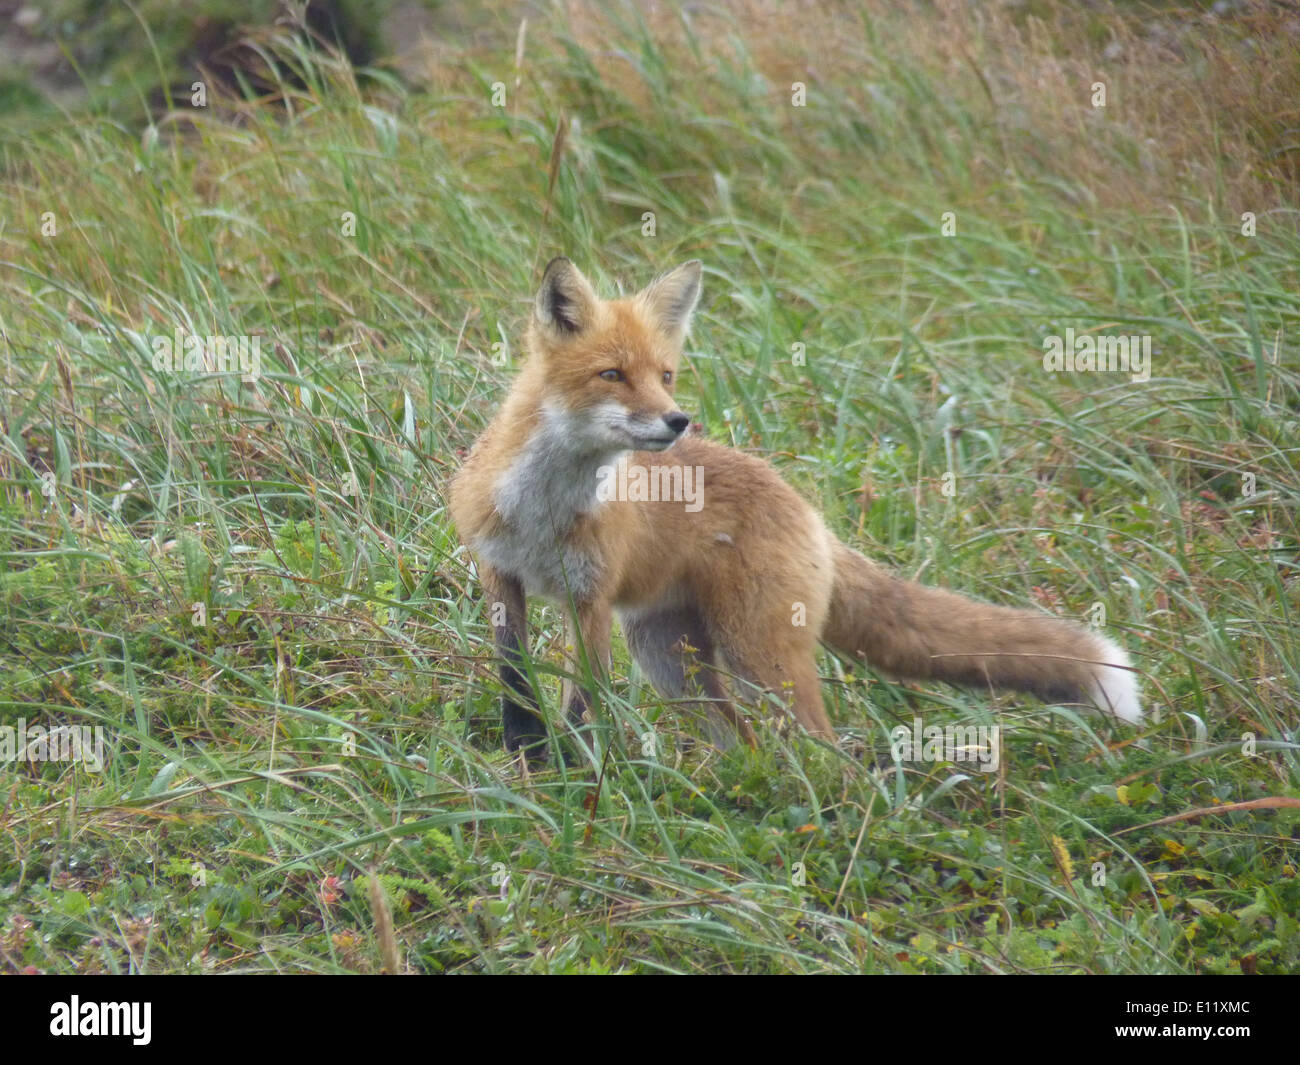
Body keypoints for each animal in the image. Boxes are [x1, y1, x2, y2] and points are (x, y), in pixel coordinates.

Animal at [448, 258, 1142, 762]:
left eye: (665, 375)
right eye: (612, 374)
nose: (678, 421)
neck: (542, 509)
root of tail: (804, 505)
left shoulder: (589, 597)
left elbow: (581, 701)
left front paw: (569, 776)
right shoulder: (500, 575)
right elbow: (515, 680)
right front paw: (525, 755)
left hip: (758, 656)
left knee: (819, 747)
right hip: (670, 659)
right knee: (741, 739)